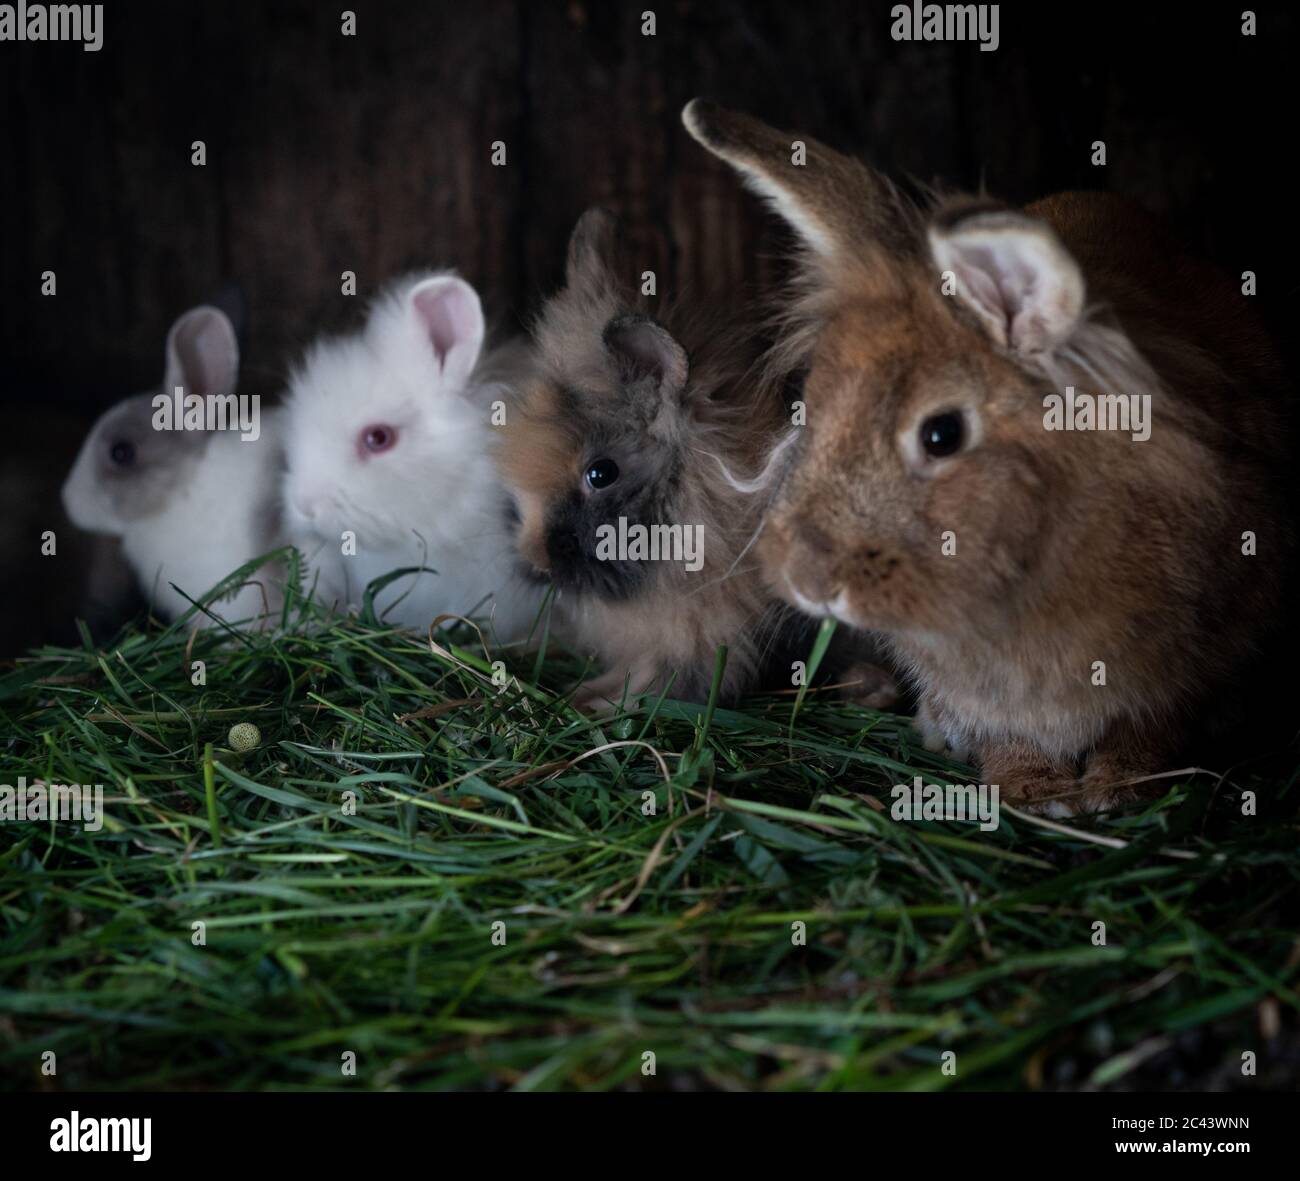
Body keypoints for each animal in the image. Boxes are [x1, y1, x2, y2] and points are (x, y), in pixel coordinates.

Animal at [498, 208, 899, 712]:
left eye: (601, 473)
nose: (537, 562)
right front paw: (584, 693)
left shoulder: (702, 632)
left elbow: (663, 678)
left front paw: (595, 705)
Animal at [684, 99, 1295, 815]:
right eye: (810, 403)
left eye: (941, 435)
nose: (807, 581)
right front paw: (1030, 791)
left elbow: (1146, 727)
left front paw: (1117, 790)